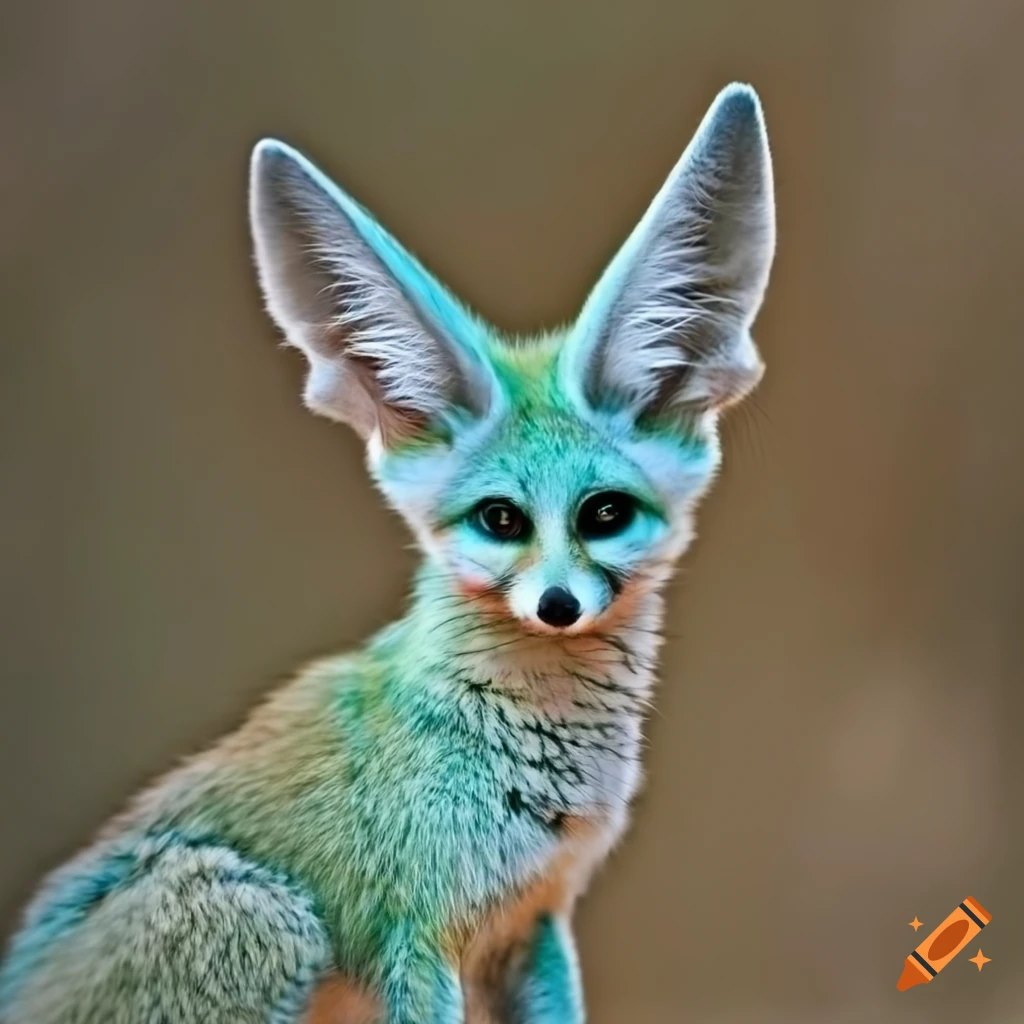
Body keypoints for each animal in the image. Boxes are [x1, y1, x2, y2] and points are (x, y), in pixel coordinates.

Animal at [0, 82, 775, 1024]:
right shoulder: (408, 937)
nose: (558, 606)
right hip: (263, 914)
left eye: (603, 514)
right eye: (502, 520)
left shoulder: (535, 917)